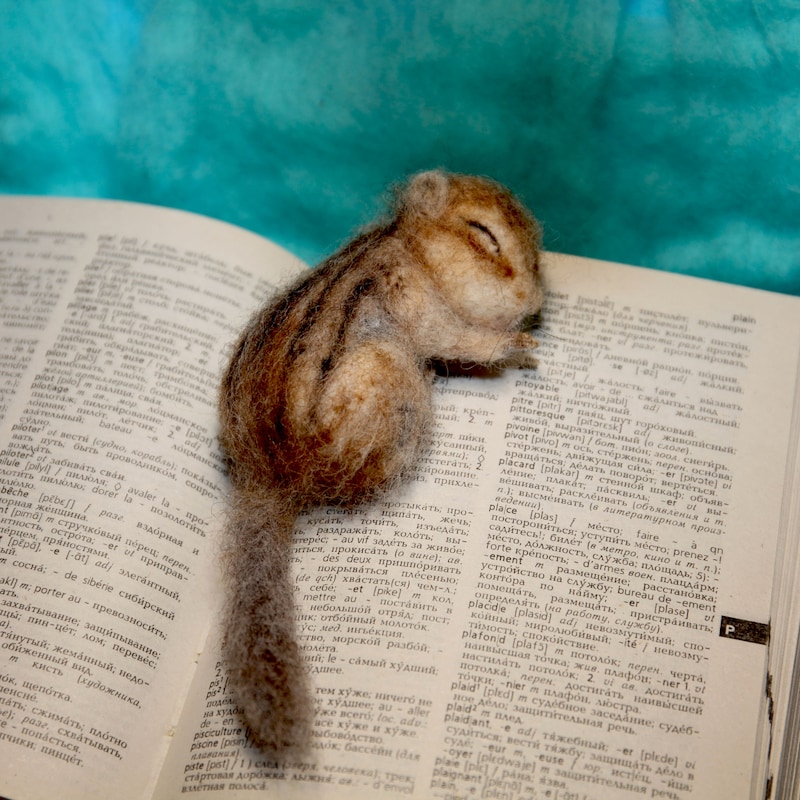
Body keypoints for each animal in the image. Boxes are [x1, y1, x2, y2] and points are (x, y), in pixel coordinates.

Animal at [218, 169, 544, 758]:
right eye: (482, 234)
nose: (535, 298)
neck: (408, 247)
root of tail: (269, 475)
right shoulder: (415, 299)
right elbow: (460, 339)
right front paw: (515, 344)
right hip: (389, 370)